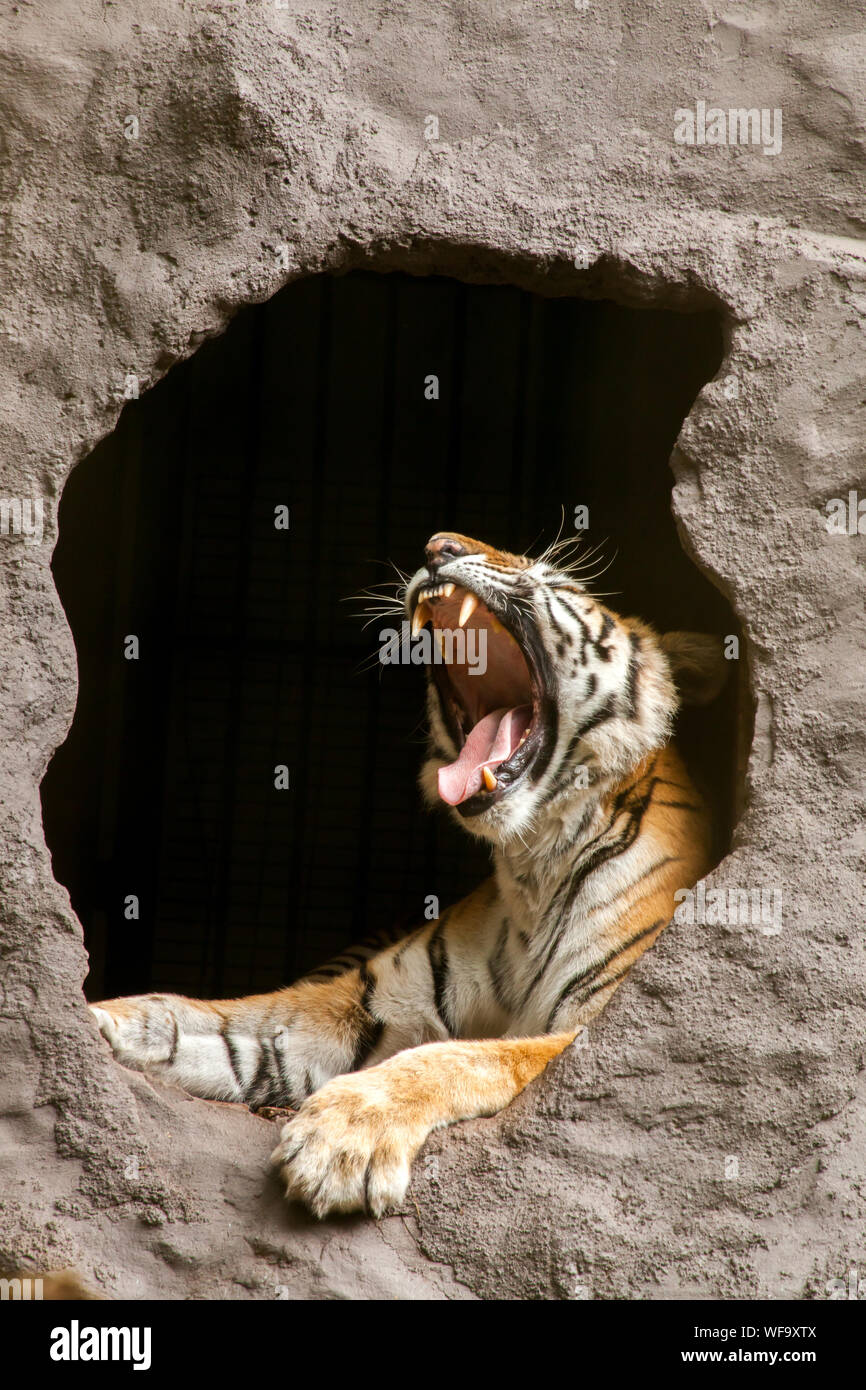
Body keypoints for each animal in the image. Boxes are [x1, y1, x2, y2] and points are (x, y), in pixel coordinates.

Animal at [90, 530, 726, 1219]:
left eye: (552, 575)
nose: (439, 545)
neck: (533, 865)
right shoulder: (365, 998)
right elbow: (212, 1022)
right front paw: (88, 1019)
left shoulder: (588, 1027)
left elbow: (461, 1058)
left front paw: (338, 1139)